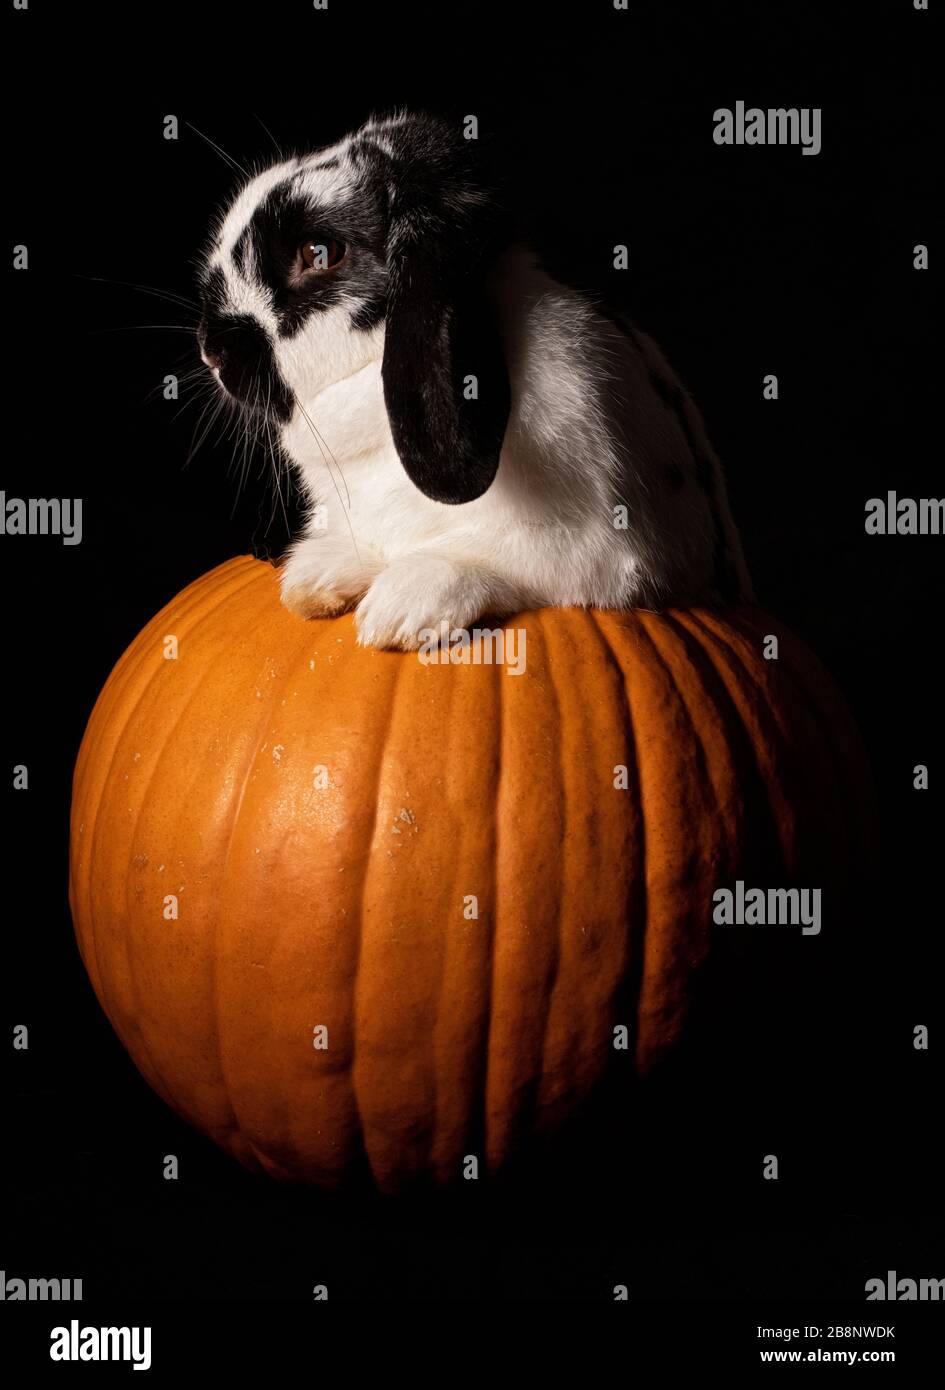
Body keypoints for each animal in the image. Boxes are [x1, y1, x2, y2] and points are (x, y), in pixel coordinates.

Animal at [196, 110, 752, 649]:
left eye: (319, 253)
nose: (211, 349)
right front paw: (314, 578)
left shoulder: (601, 551)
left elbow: (502, 557)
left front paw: (400, 610)